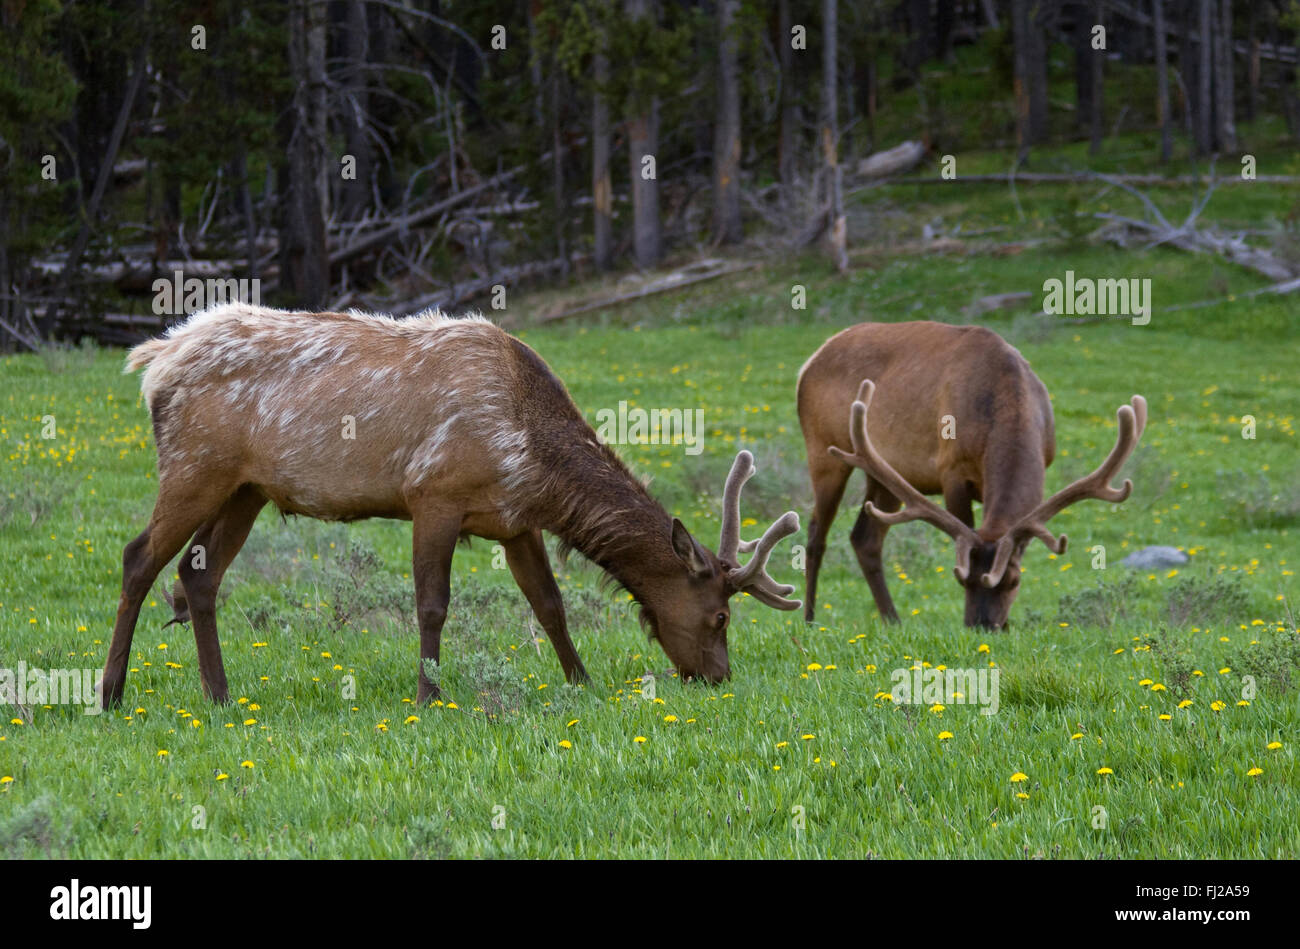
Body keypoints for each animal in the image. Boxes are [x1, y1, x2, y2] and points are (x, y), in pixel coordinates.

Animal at [100, 302, 801, 710]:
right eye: (720, 617)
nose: (718, 677)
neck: (530, 451)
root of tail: (154, 360)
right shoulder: (432, 494)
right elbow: (432, 605)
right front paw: (427, 696)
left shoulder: (515, 522)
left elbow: (549, 606)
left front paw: (582, 683)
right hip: (194, 466)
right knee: (139, 558)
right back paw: (111, 694)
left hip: (244, 488)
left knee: (197, 575)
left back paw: (219, 695)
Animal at [797, 321, 1147, 629]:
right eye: (961, 578)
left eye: (1014, 581)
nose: (982, 626)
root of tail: (811, 360)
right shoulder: (952, 470)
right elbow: (963, 525)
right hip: (823, 451)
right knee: (815, 535)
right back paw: (810, 620)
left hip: (886, 476)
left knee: (865, 538)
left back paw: (893, 622)